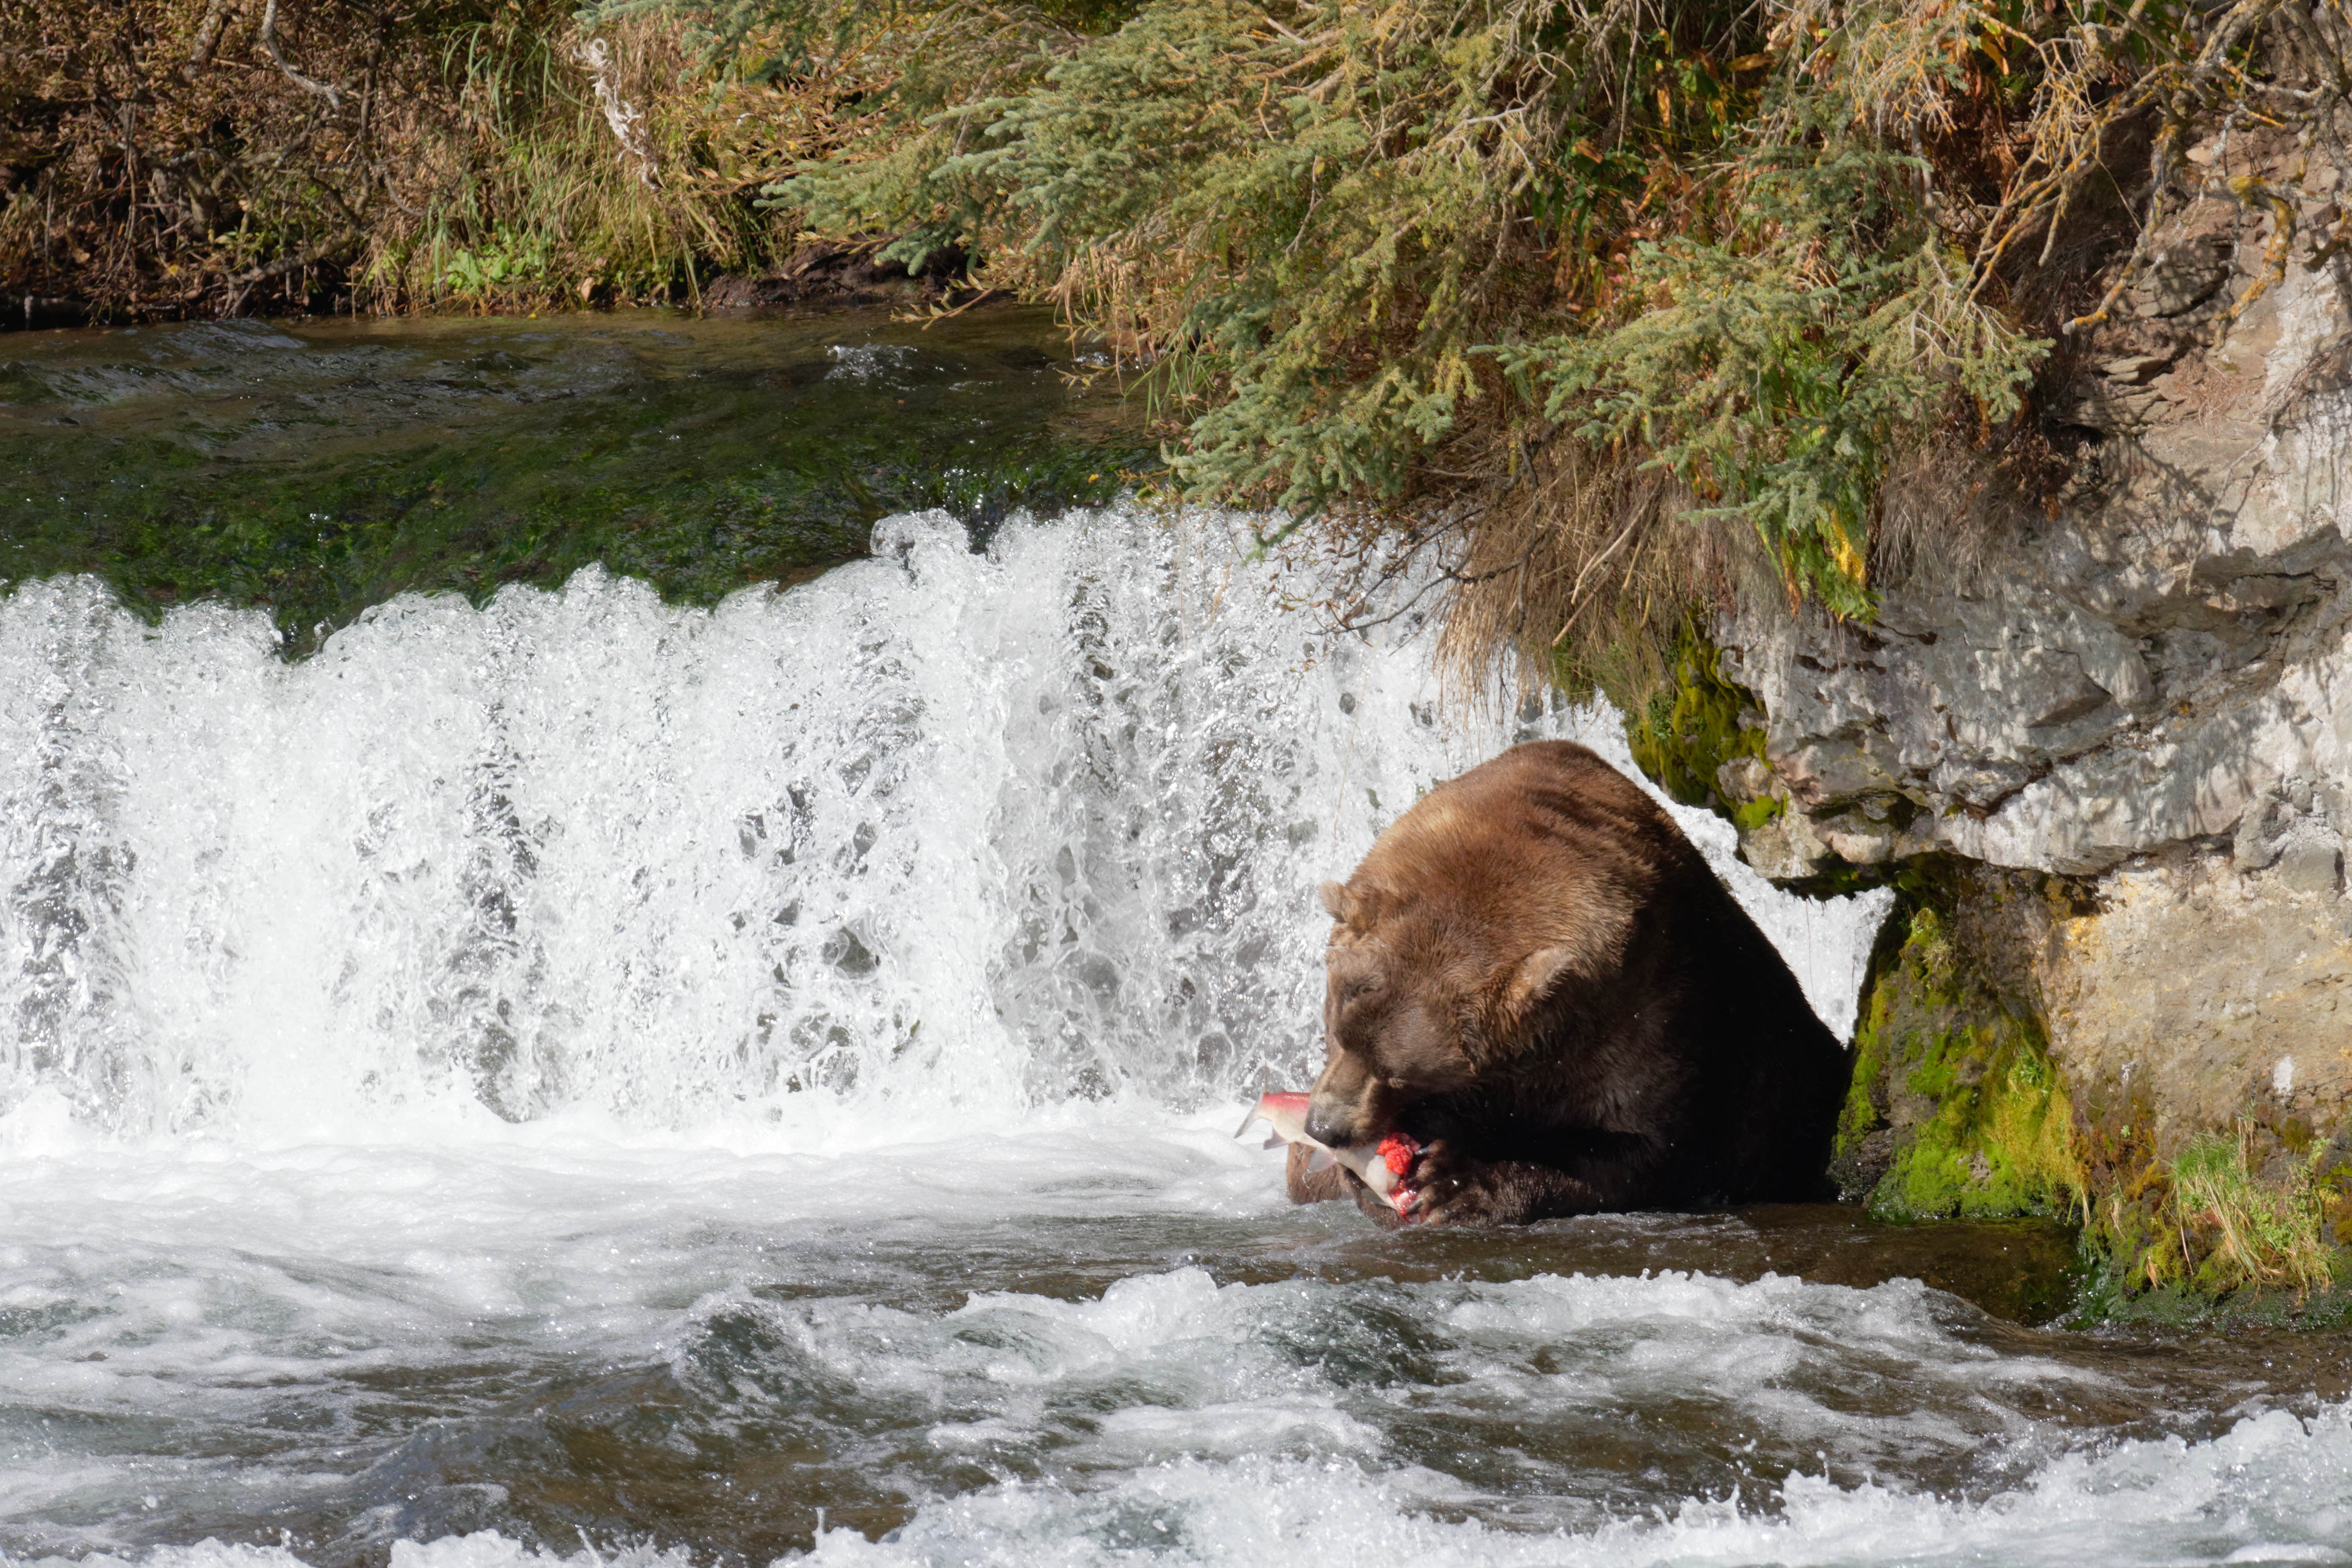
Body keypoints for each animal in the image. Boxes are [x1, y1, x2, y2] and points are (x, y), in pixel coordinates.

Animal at [1287, 739, 1851, 1226]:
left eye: (1402, 1075)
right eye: (1336, 1030)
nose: (1326, 1127)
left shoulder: (1659, 1014)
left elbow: (1648, 1148)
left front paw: (1455, 1183)